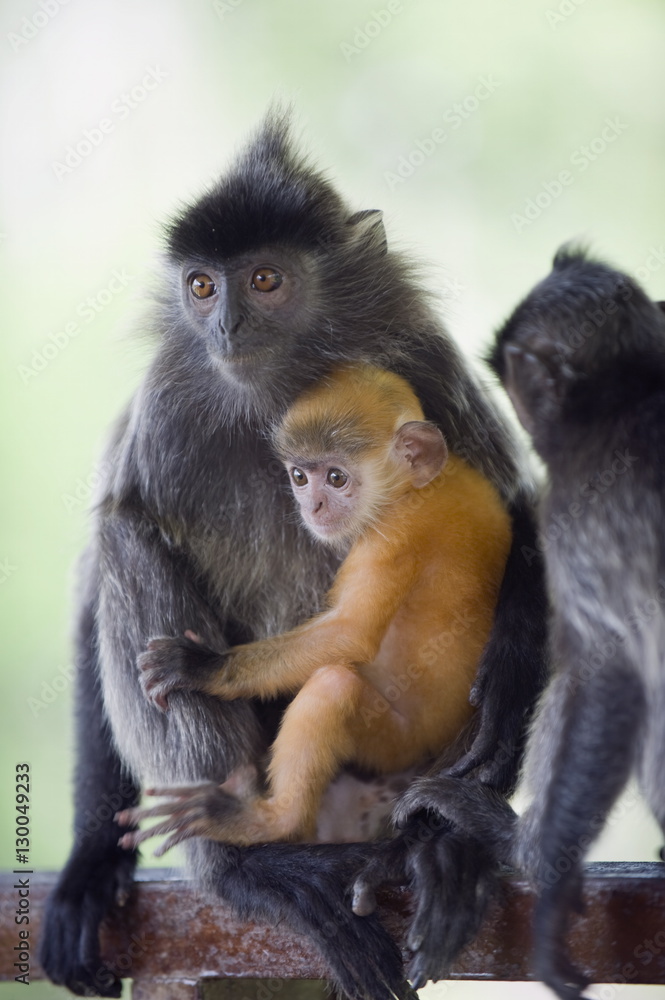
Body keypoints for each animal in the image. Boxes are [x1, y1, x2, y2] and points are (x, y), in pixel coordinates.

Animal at [115, 363, 512, 851]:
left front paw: (200, 666)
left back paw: (272, 821)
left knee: (333, 687)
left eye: (337, 478)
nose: (312, 505)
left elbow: (349, 634)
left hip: (393, 745)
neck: (423, 487)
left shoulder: (394, 534)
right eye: (300, 477)